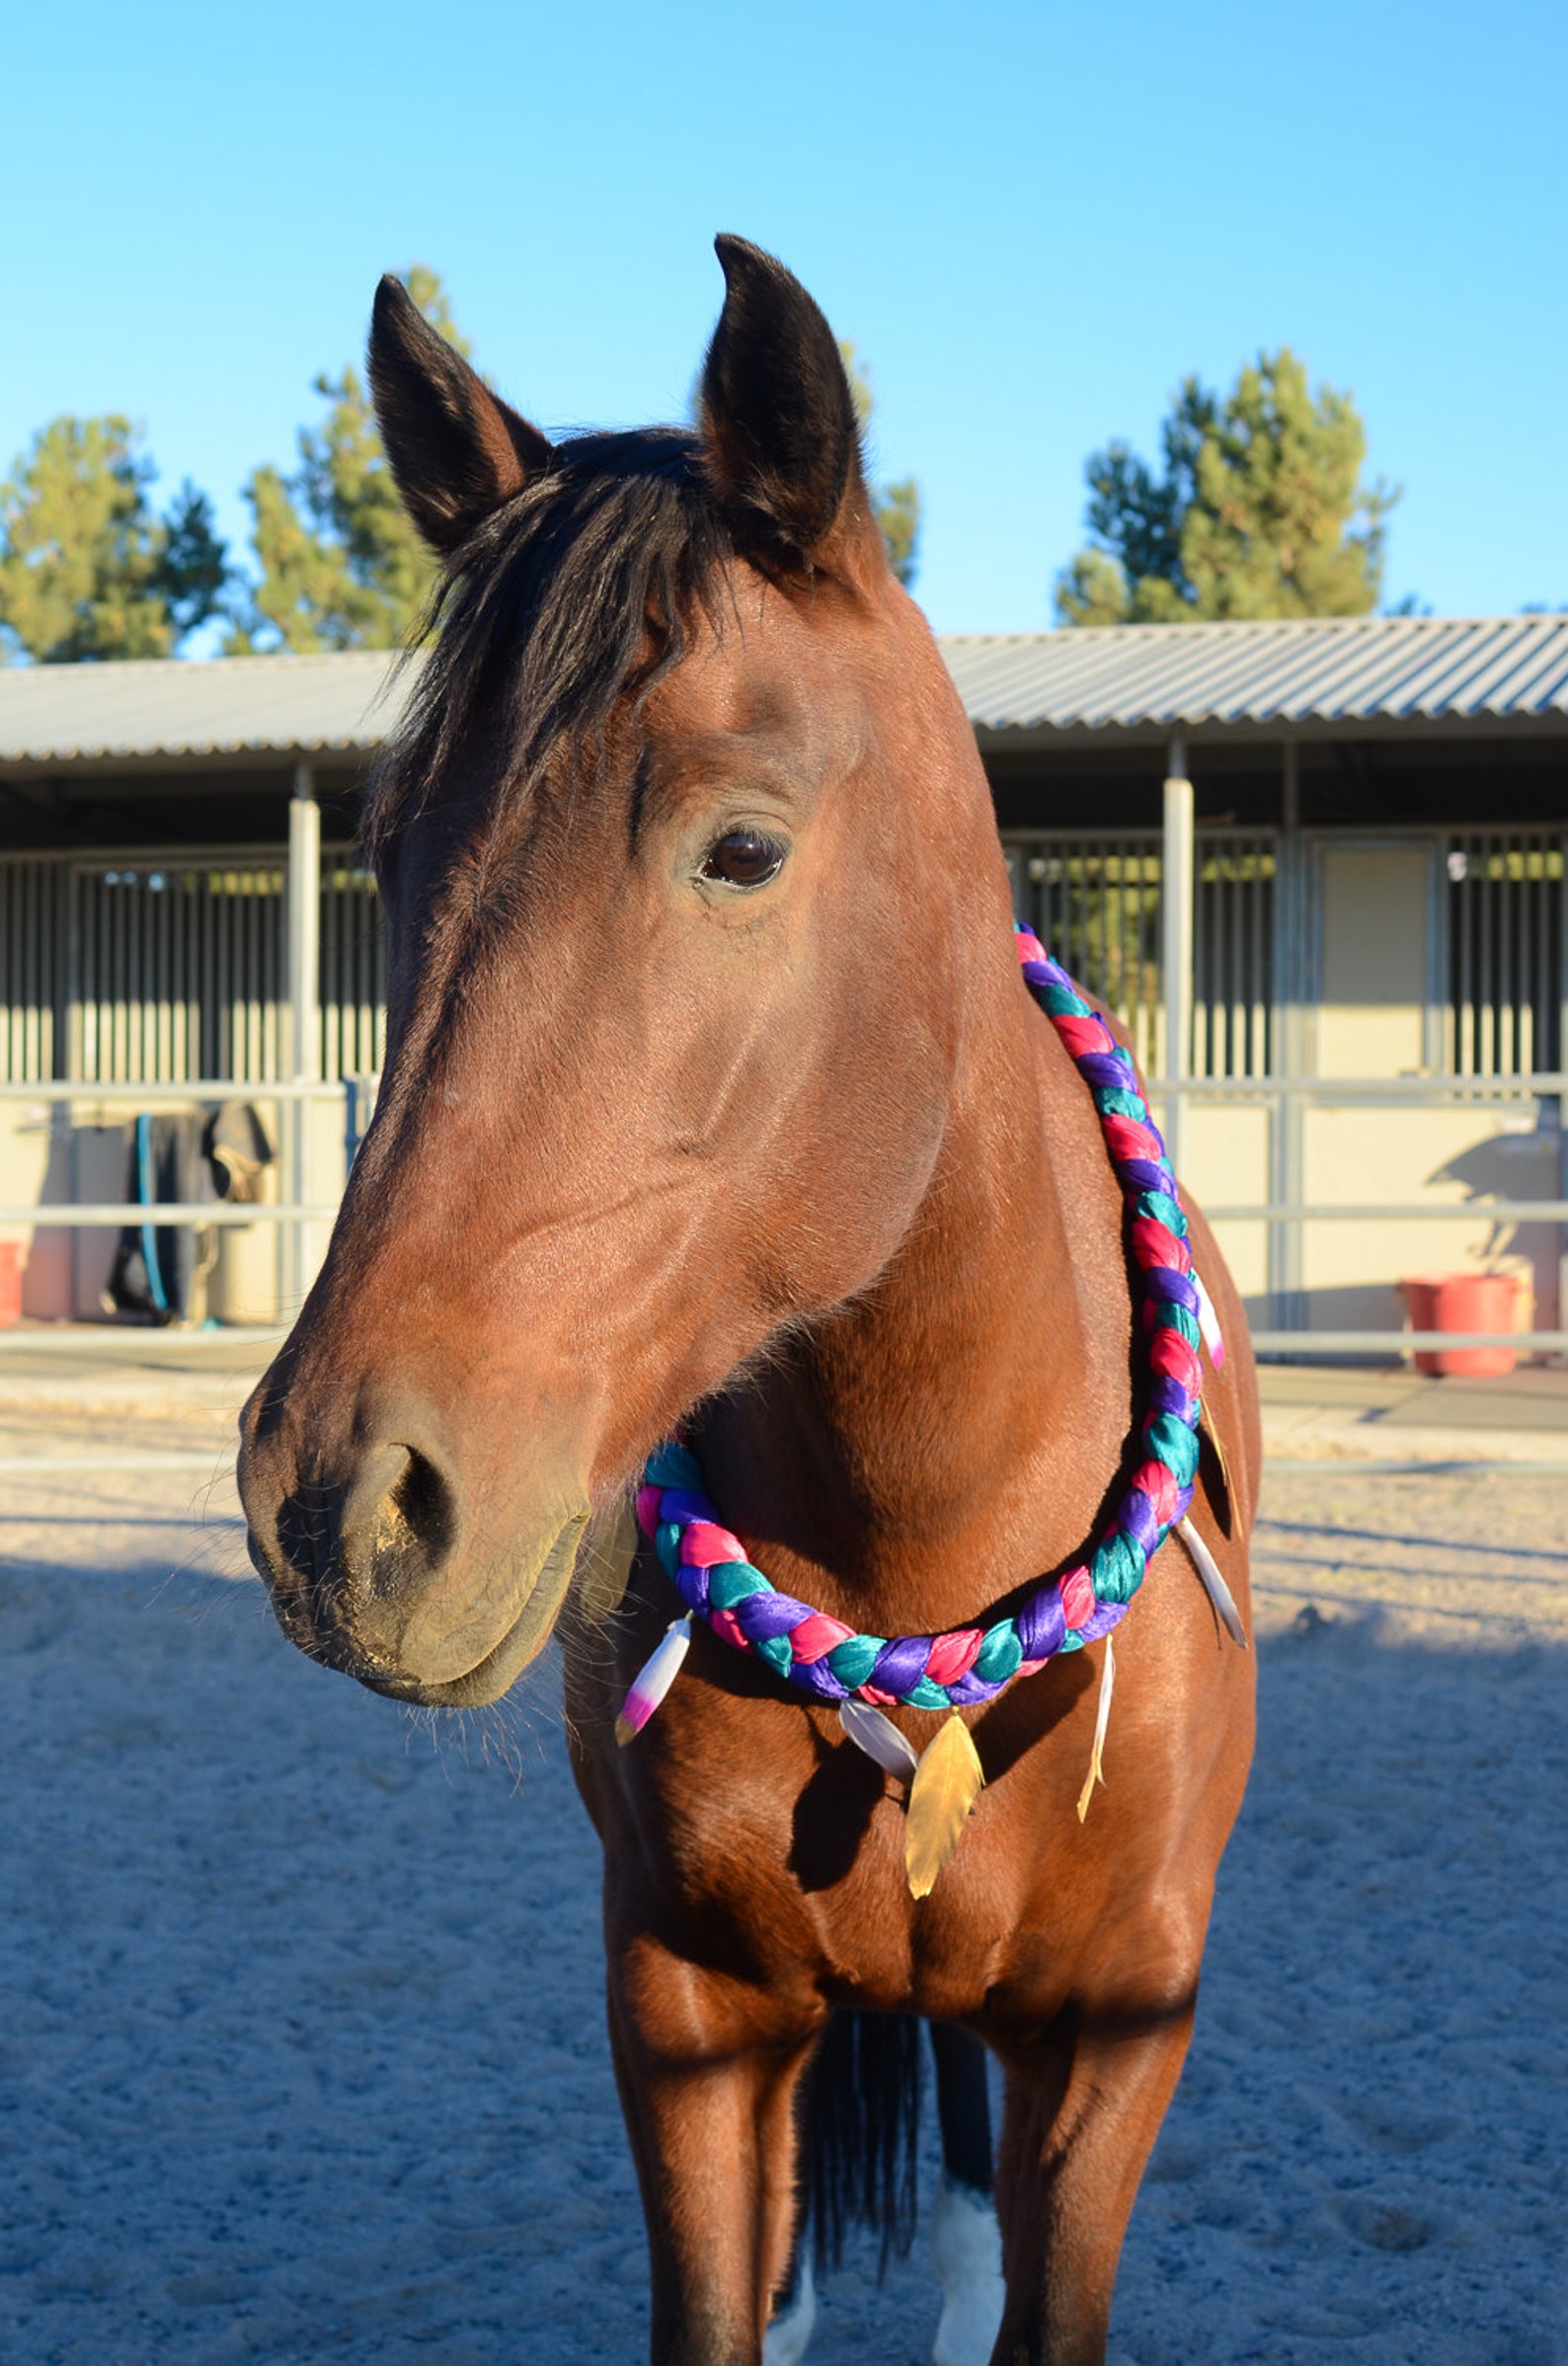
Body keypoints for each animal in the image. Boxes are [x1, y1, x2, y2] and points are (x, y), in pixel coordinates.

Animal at [237, 235, 1258, 2366]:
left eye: (738, 846)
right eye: (382, 845)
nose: (340, 1502)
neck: (928, 1532)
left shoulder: (1117, 2041)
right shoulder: (685, 2020)